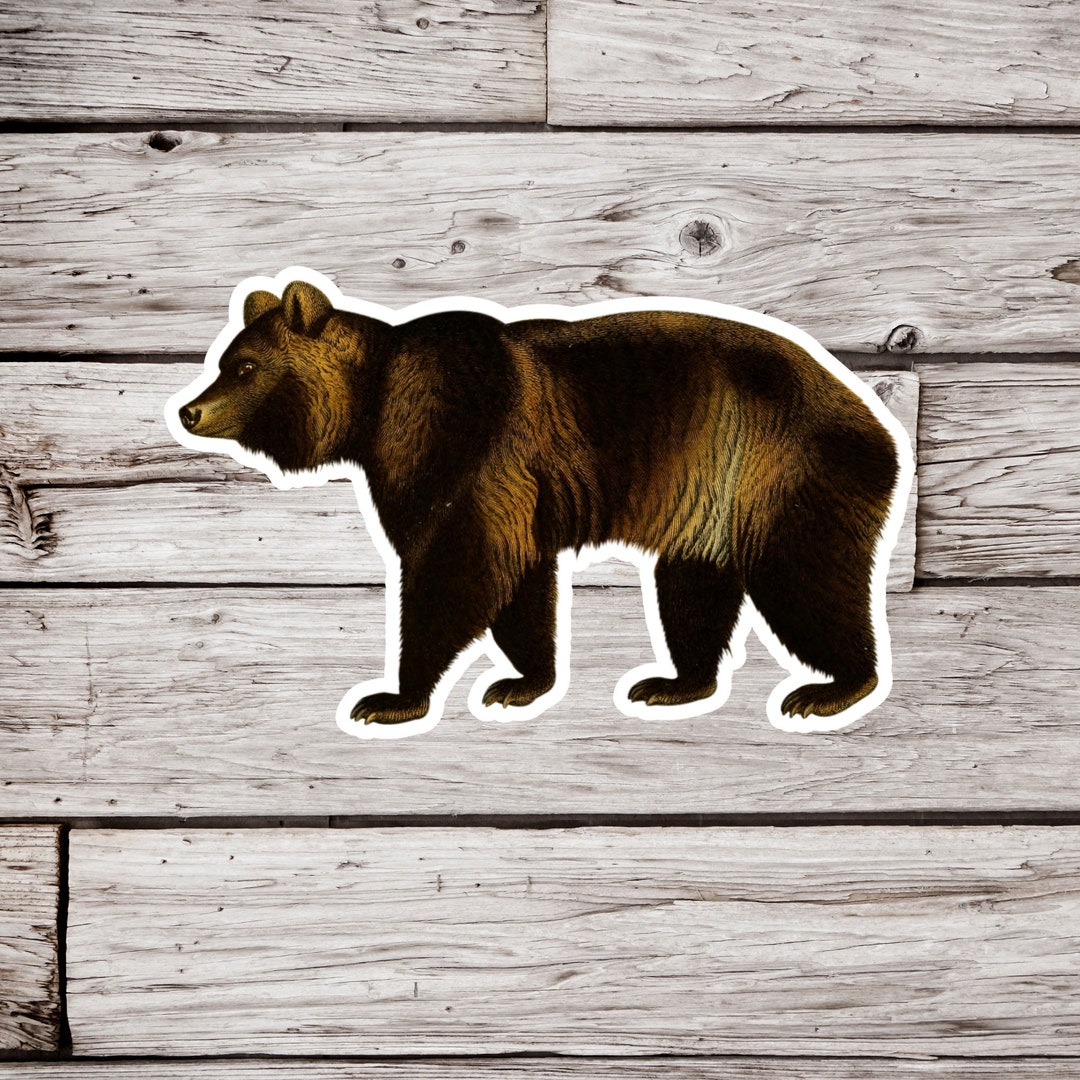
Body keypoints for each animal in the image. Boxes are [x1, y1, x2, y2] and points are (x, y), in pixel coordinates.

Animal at [173, 272, 909, 734]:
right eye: (225, 359)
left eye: (244, 366)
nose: (189, 409)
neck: (374, 405)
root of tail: (877, 422)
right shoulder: (516, 490)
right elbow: (520, 579)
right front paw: (521, 682)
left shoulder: (459, 438)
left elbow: (455, 564)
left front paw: (390, 696)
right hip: (706, 494)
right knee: (692, 585)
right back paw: (675, 681)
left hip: (780, 469)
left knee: (804, 577)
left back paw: (834, 686)